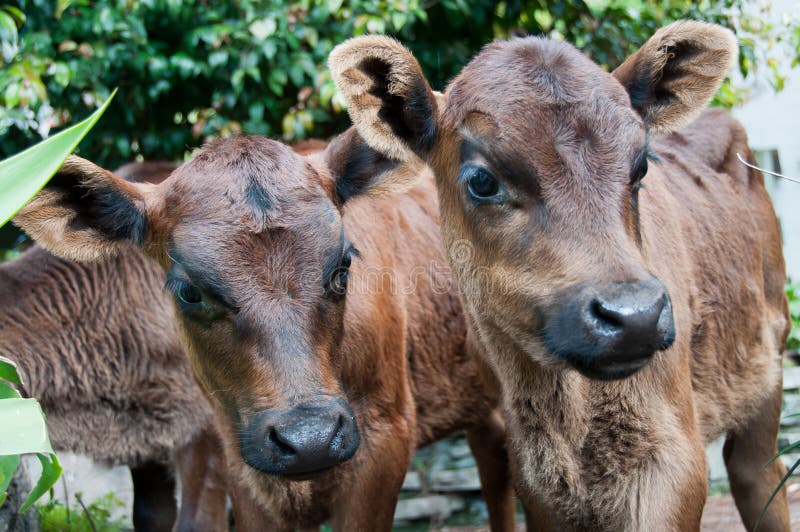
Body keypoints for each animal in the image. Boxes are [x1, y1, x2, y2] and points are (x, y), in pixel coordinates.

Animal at [329, 21, 791, 530]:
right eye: (482, 180)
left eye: (640, 165)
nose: (636, 316)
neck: (573, 423)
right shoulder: (539, 484)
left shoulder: (675, 467)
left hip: (767, 371)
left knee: (757, 473)